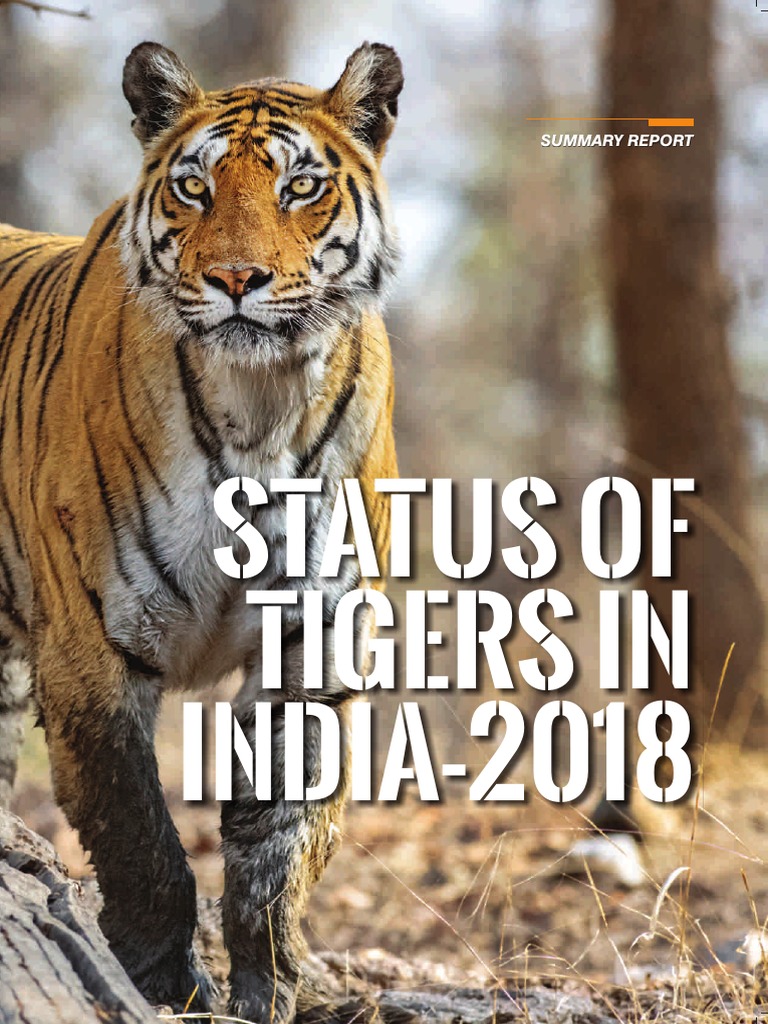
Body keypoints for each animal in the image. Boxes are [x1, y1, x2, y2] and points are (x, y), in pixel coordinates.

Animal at [0, 40, 401, 1021]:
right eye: (193, 187)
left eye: (300, 187)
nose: (235, 281)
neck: (262, 405)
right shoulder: (93, 649)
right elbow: (141, 836)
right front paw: (164, 987)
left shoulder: (313, 645)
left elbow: (274, 846)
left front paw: (268, 988)